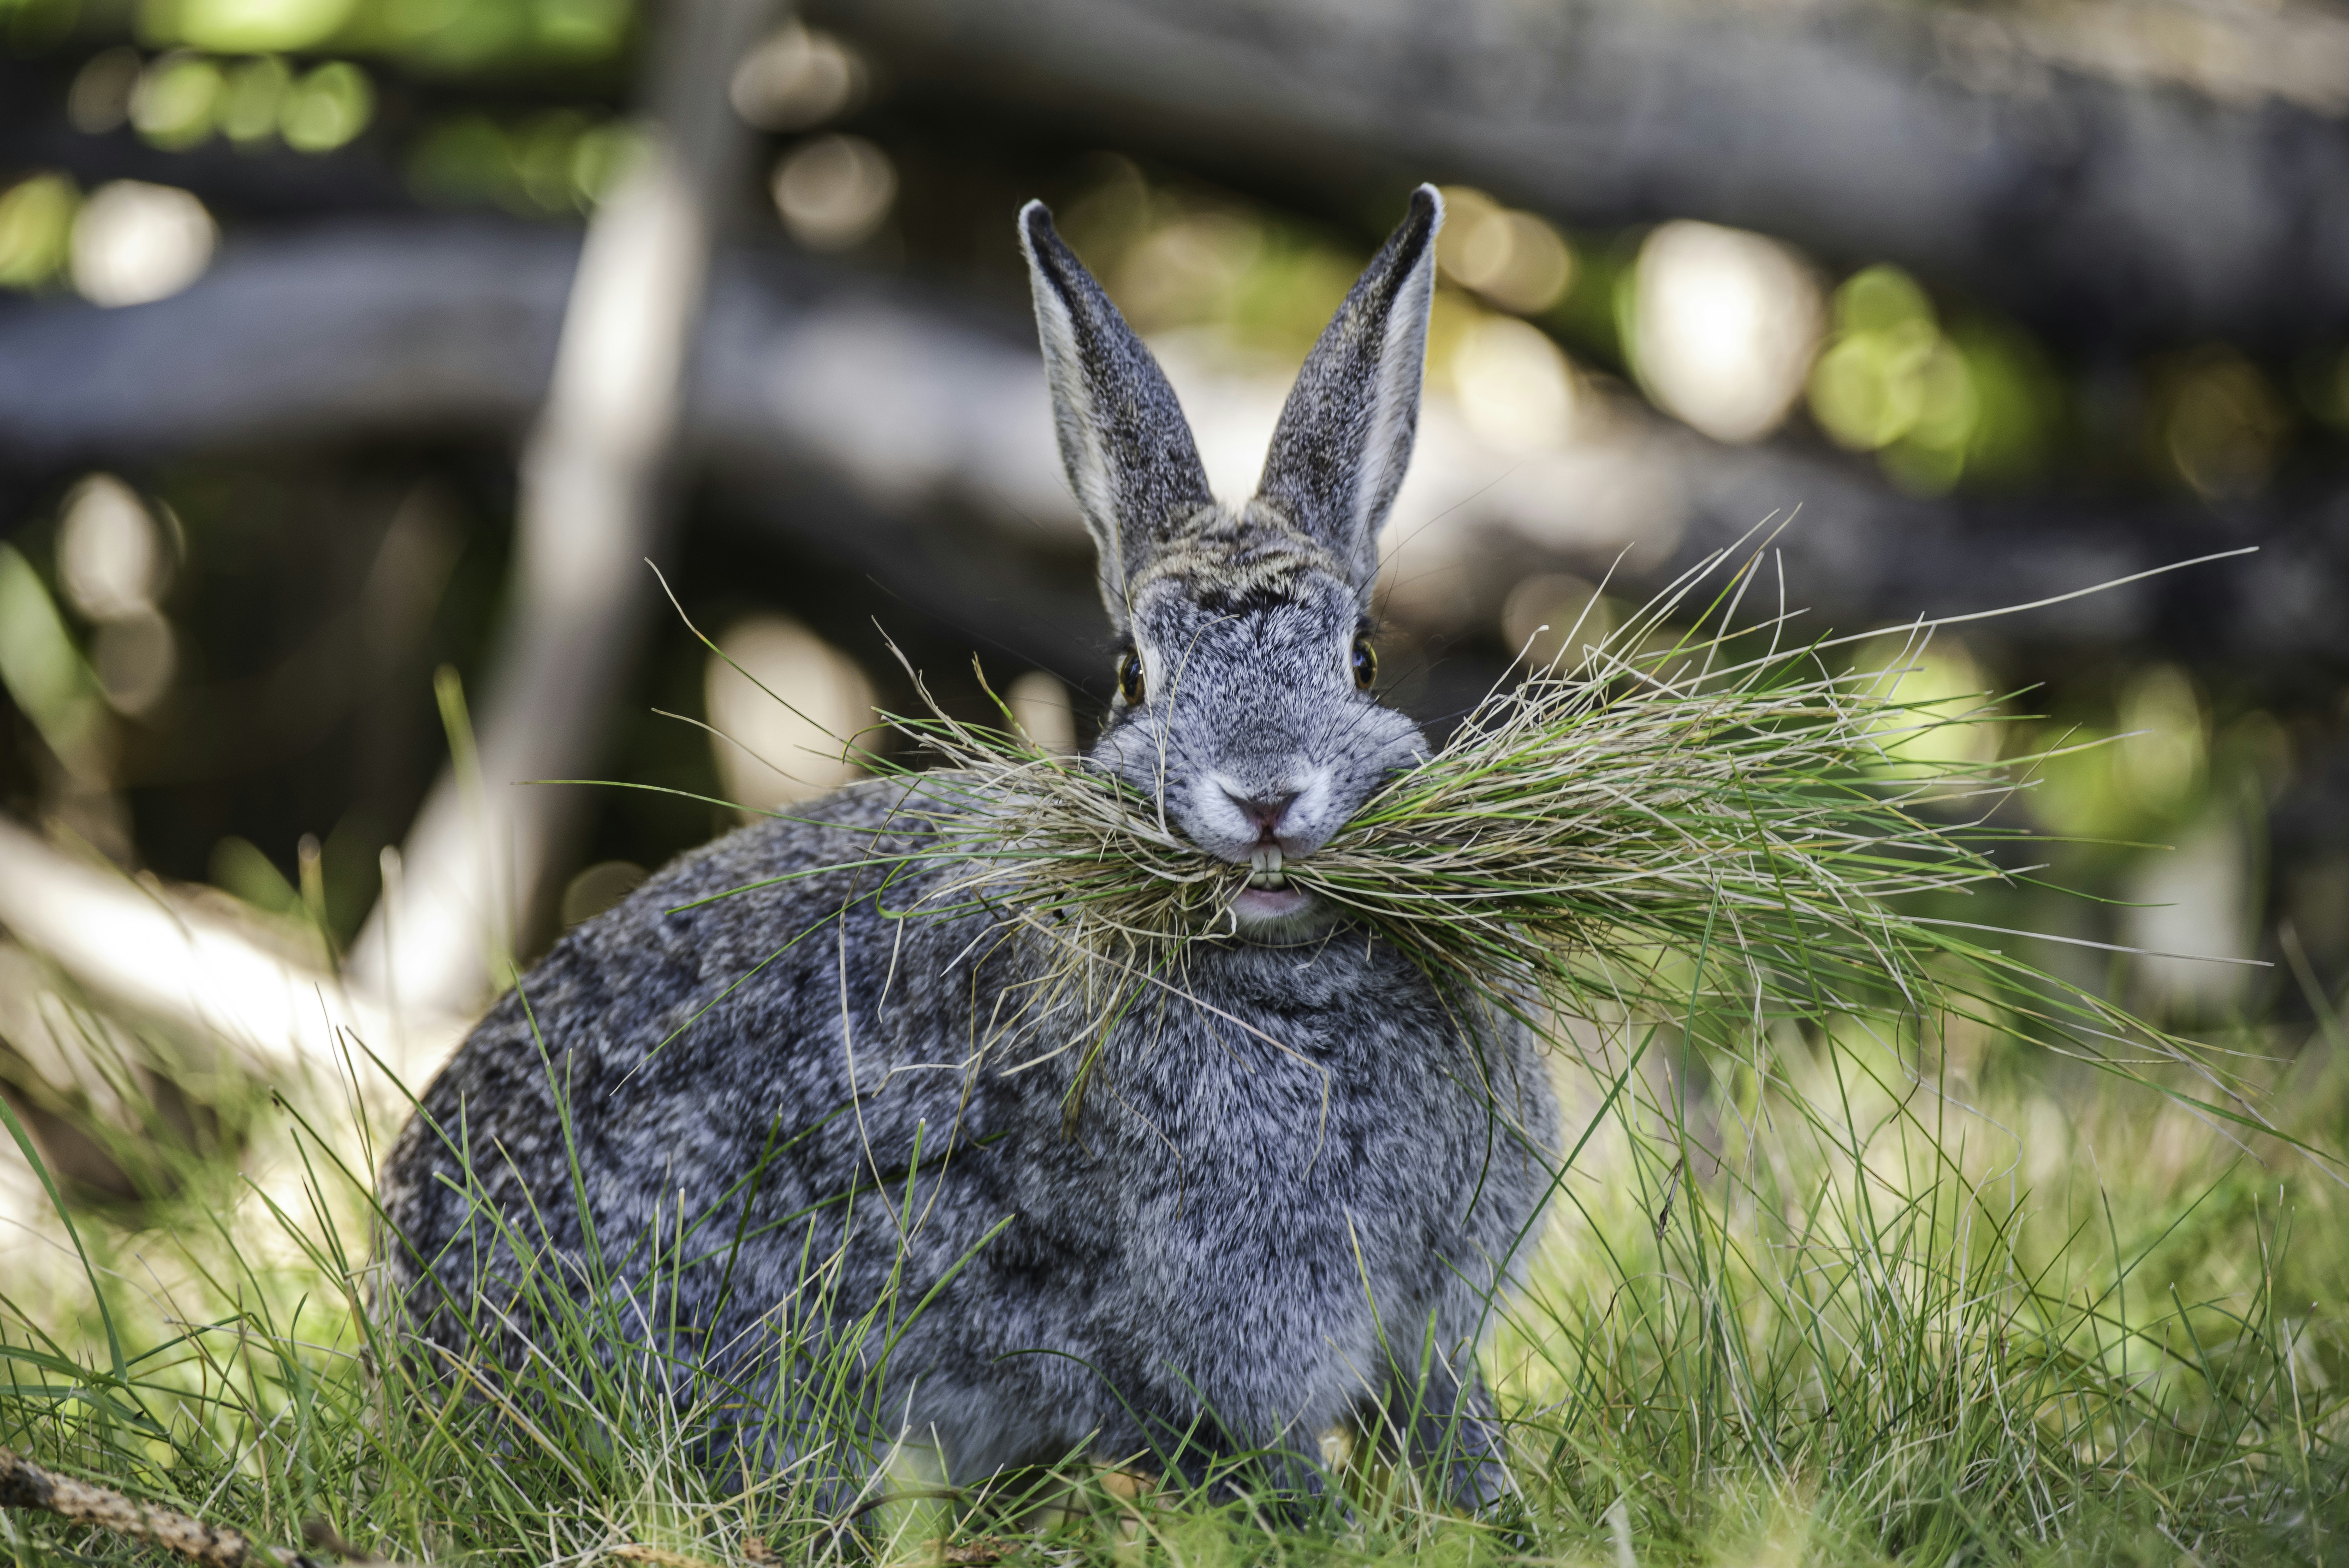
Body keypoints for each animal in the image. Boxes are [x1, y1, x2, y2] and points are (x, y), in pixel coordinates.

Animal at [375, 185, 1561, 1511]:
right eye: (1130, 677)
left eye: (1361, 658)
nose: (1263, 796)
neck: (1292, 971)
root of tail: (407, 1341)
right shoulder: (1217, 1323)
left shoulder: (1429, 1319)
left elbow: (1444, 1418)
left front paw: (1499, 1512)